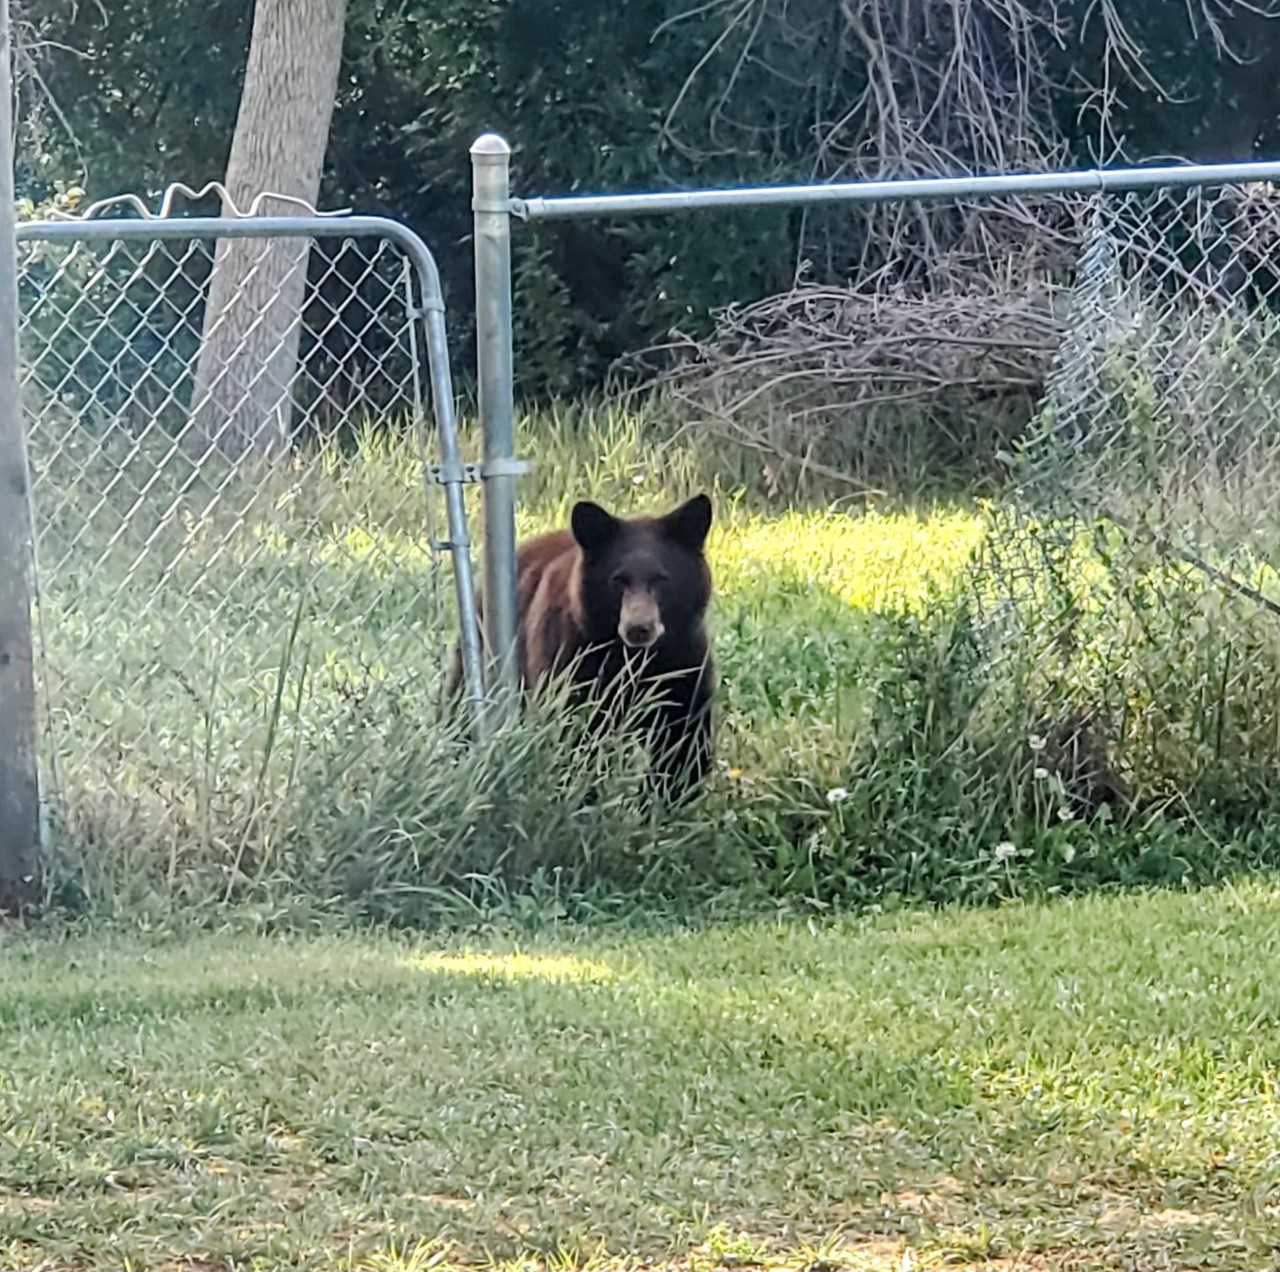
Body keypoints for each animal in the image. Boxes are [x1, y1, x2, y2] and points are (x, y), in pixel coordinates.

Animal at [445, 493, 717, 801]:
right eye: (618, 580)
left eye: (661, 579)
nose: (639, 627)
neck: (633, 659)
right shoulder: (573, 660)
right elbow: (577, 736)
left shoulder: (684, 662)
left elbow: (682, 740)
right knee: (459, 701)